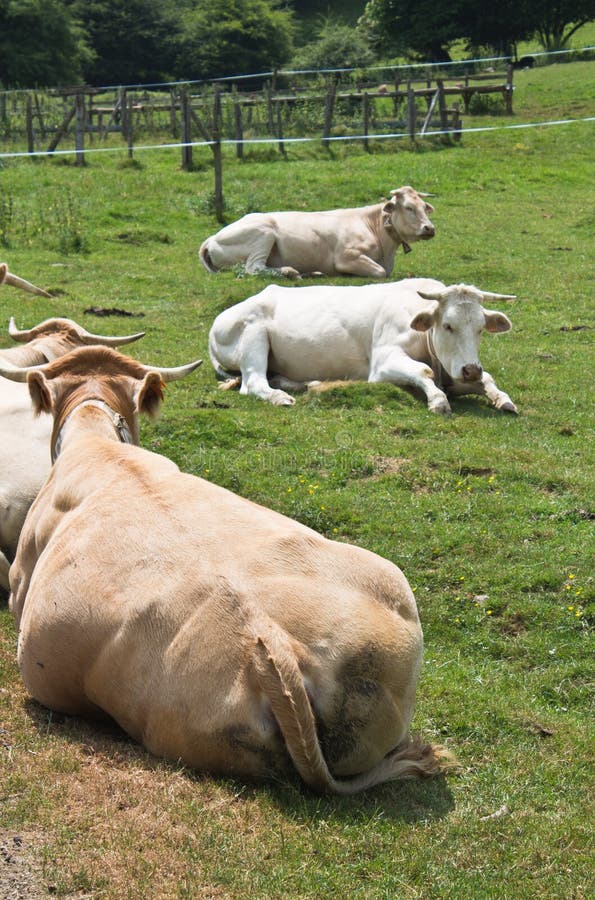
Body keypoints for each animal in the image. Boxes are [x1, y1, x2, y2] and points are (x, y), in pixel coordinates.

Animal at [199, 187, 435, 279]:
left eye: (425, 207)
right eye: (409, 208)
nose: (430, 228)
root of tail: (211, 239)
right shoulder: (346, 256)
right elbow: (380, 272)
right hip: (263, 233)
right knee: (254, 268)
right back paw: (289, 271)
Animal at [208, 278, 517, 414]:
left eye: (480, 328)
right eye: (448, 325)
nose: (470, 370)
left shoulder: (453, 372)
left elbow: (489, 379)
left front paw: (502, 398)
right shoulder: (383, 363)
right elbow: (423, 372)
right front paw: (438, 400)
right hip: (254, 335)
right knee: (253, 382)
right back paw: (279, 397)